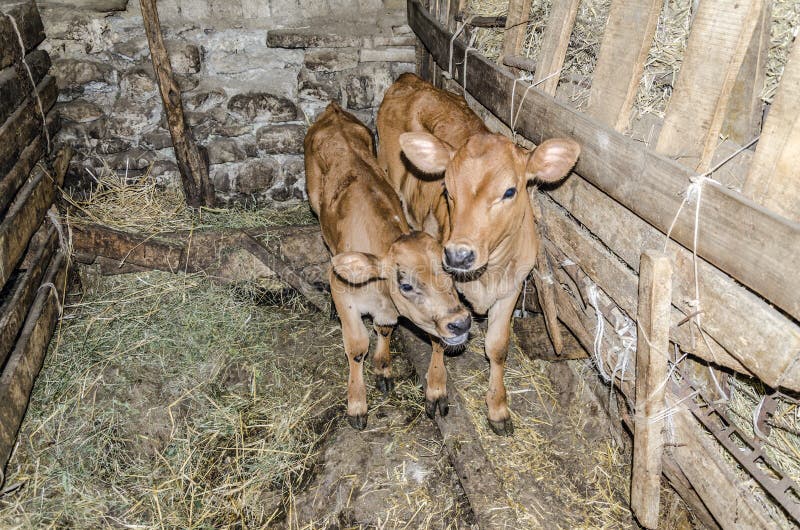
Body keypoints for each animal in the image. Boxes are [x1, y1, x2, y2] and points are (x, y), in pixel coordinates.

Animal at [305, 102, 472, 430]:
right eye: (405, 284)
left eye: (449, 273)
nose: (460, 322)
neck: (380, 296)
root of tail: (333, 111)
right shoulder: (342, 290)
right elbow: (357, 347)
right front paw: (357, 404)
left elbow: (390, 330)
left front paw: (391, 370)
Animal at [377, 73, 580, 435]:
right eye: (447, 189)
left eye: (510, 191)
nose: (458, 255)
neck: (489, 273)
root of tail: (410, 79)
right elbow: (440, 334)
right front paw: (436, 387)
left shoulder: (512, 288)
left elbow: (497, 348)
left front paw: (498, 407)